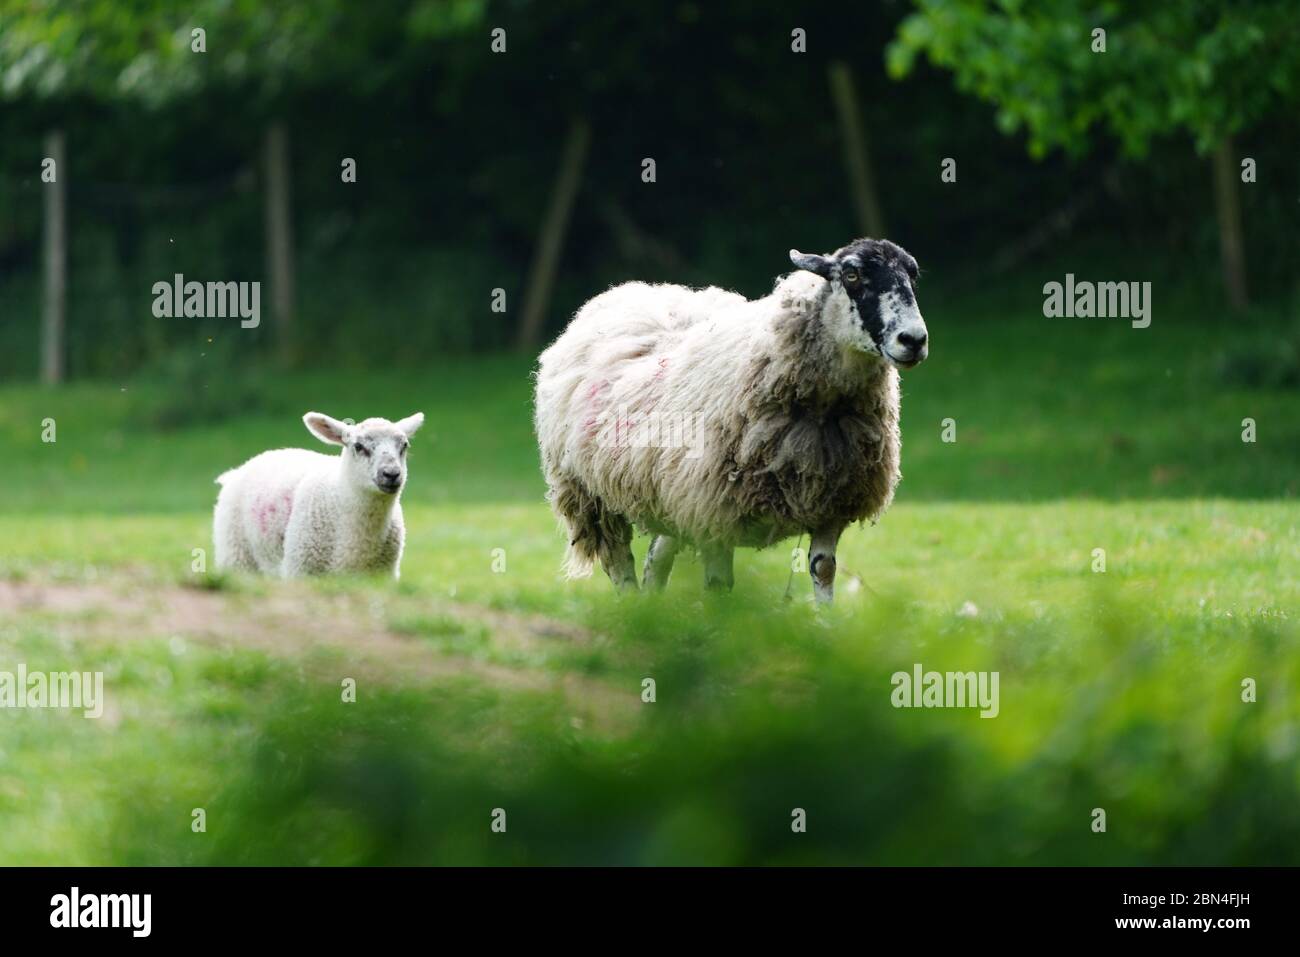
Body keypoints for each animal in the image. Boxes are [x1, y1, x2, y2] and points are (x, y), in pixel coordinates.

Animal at [533, 237, 928, 604]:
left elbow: (824, 570)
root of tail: (635, 291)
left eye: (912, 275)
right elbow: (719, 584)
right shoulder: (714, 508)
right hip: (589, 494)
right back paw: (632, 608)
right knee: (619, 562)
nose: (914, 340)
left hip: (671, 491)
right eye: (851, 274)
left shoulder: (833, 504)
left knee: (657, 556)